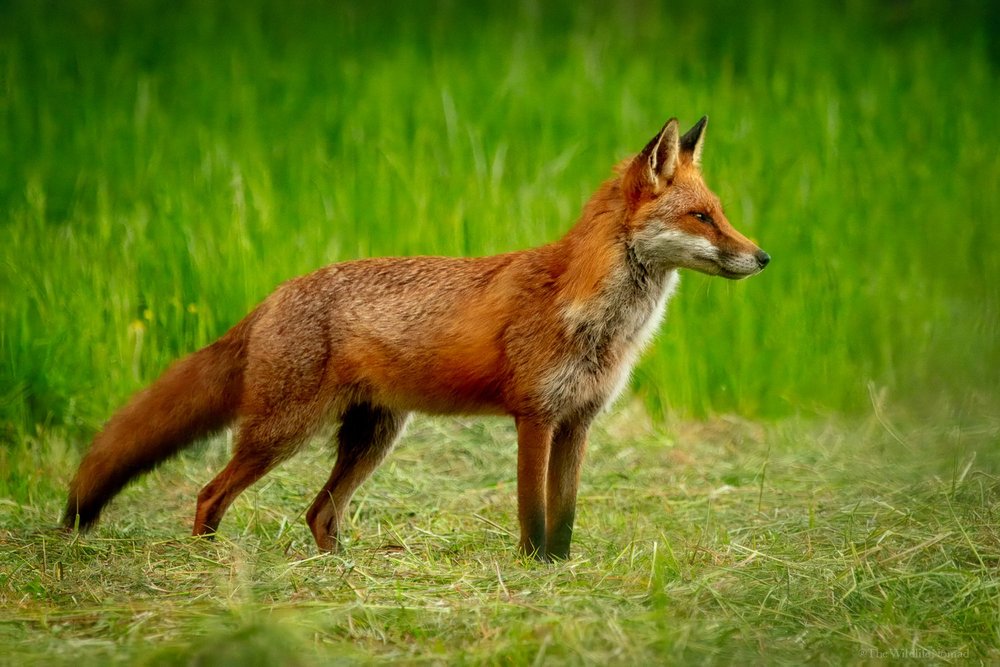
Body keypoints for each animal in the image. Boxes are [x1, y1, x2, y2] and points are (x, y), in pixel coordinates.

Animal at [63, 116, 769, 561]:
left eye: (721, 213)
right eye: (701, 217)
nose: (762, 258)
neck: (591, 313)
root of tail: (274, 295)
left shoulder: (578, 423)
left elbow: (564, 518)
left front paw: (562, 571)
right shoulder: (535, 418)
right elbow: (533, 515)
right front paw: (533, 570)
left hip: (372, 438)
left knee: (318, 513)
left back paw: (340, 574)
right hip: (282, 433)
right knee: (211, 494)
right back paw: (210, 567)